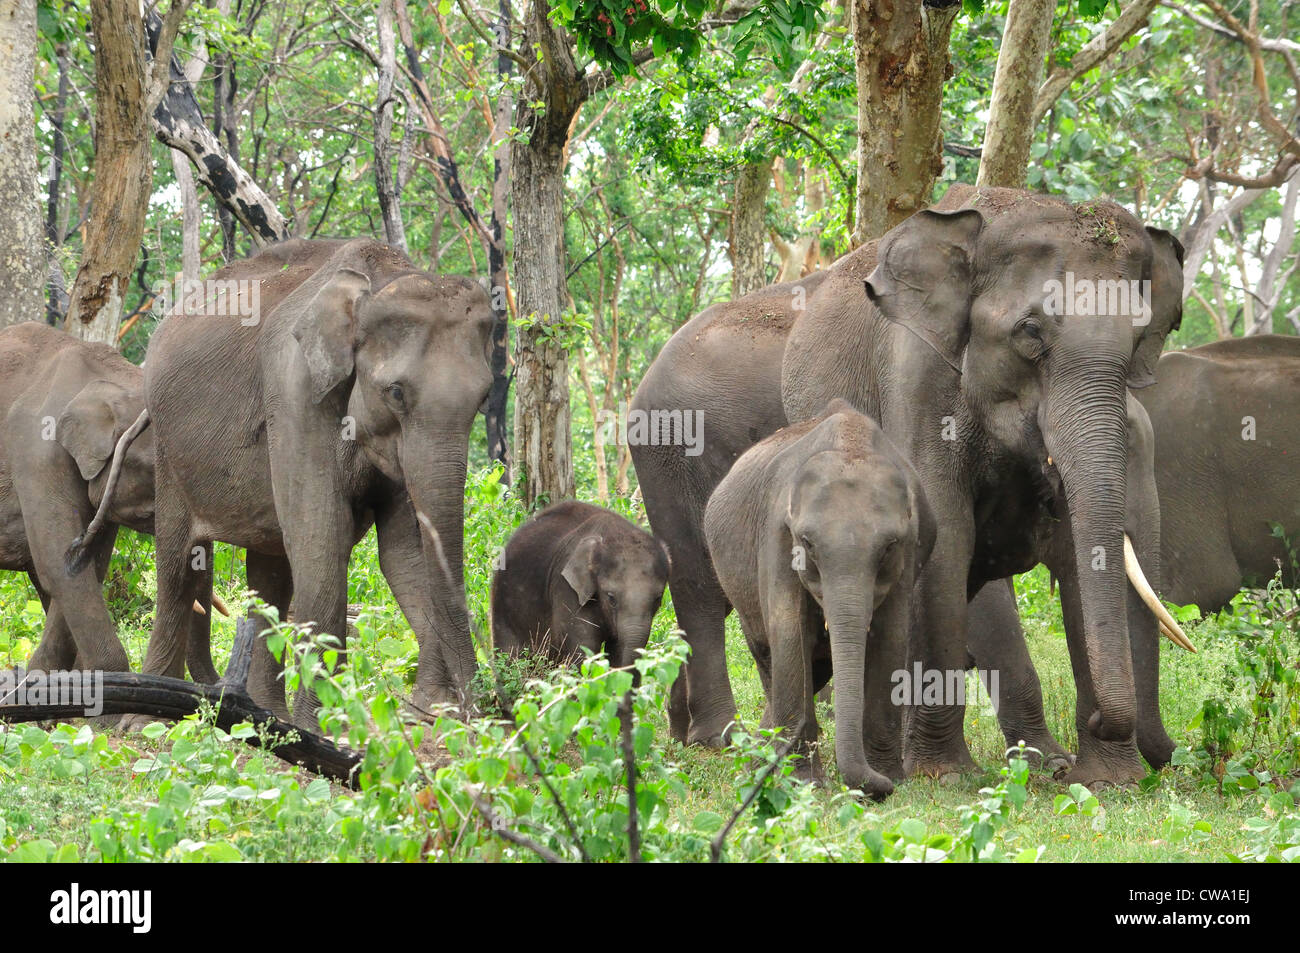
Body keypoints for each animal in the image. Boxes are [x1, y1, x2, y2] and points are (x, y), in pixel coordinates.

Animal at [77, 238, 494, 728]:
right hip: (169, 451)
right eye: (395, 392)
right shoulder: (294, 391)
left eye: (485, 397)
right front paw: (325, 726)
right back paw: (146, 721)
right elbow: (321, 538)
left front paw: (425, 712)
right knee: (179, 568)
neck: (377, 282)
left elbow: (401, 553)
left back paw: (262, 716)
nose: (477, 713)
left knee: (270, 573)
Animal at [703, 400, 934, 799]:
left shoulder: (912, 546)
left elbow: (891, 636)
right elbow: (788, 633)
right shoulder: (777, 534)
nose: (884, 787)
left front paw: (888, 776)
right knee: (769, 657)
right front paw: (803, 782)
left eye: (888, 547)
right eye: (808, 544)